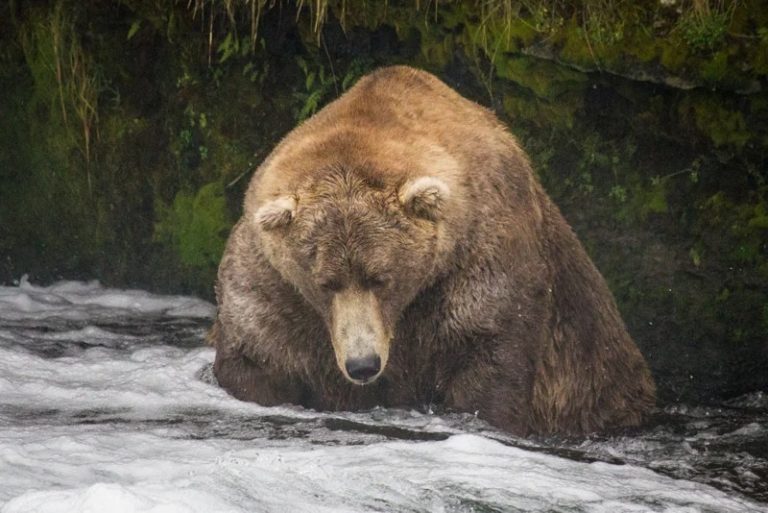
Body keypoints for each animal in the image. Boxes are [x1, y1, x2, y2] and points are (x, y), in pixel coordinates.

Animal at [209, 65, 655, 436]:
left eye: (381, 277)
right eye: (325, 282)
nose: (363, 364)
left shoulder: (476, 259)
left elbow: (491, 354)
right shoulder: (275, 286)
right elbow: (256, 351)